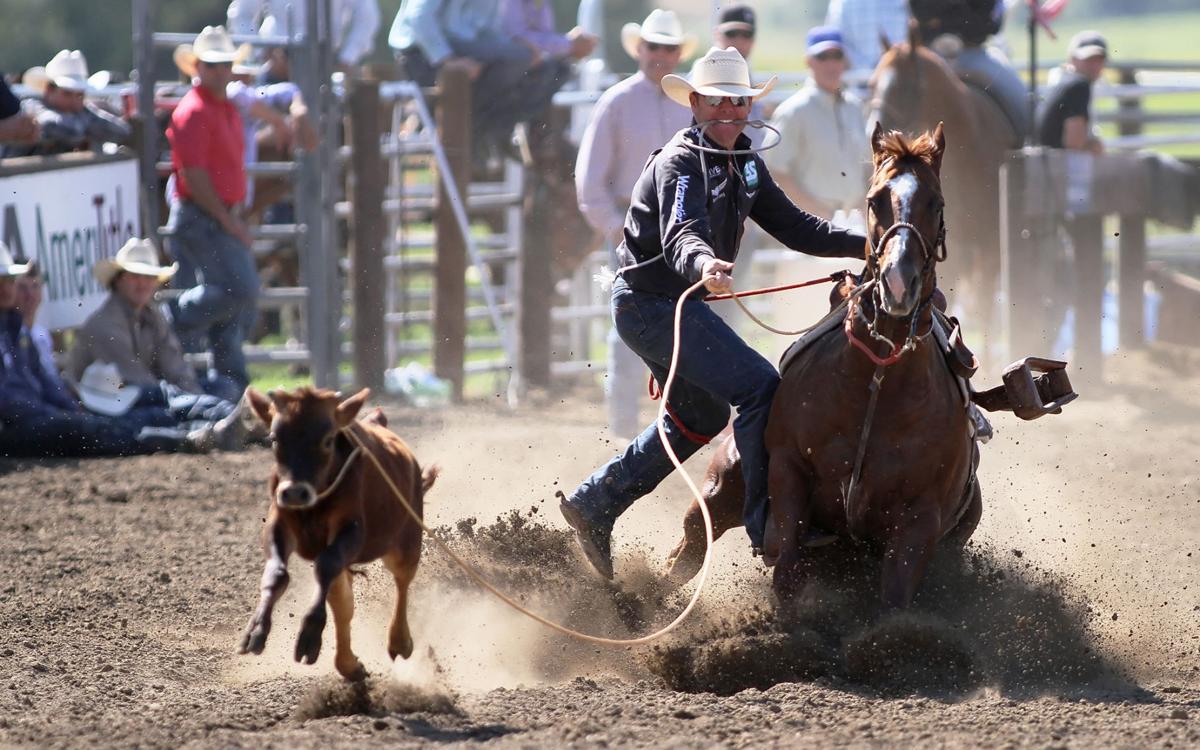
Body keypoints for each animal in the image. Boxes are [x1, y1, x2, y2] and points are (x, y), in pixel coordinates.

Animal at [237, 386, 437, 680]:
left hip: (405, 542)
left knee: (402, 581)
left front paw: (309, 635)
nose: (295, 492)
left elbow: (326, 565)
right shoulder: (279, 521)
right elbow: (277, 573)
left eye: (328, 439)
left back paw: (399, 641)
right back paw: (349, 665)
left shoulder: (351, 529)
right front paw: (256, 630)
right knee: (343, 604)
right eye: (274, 438)